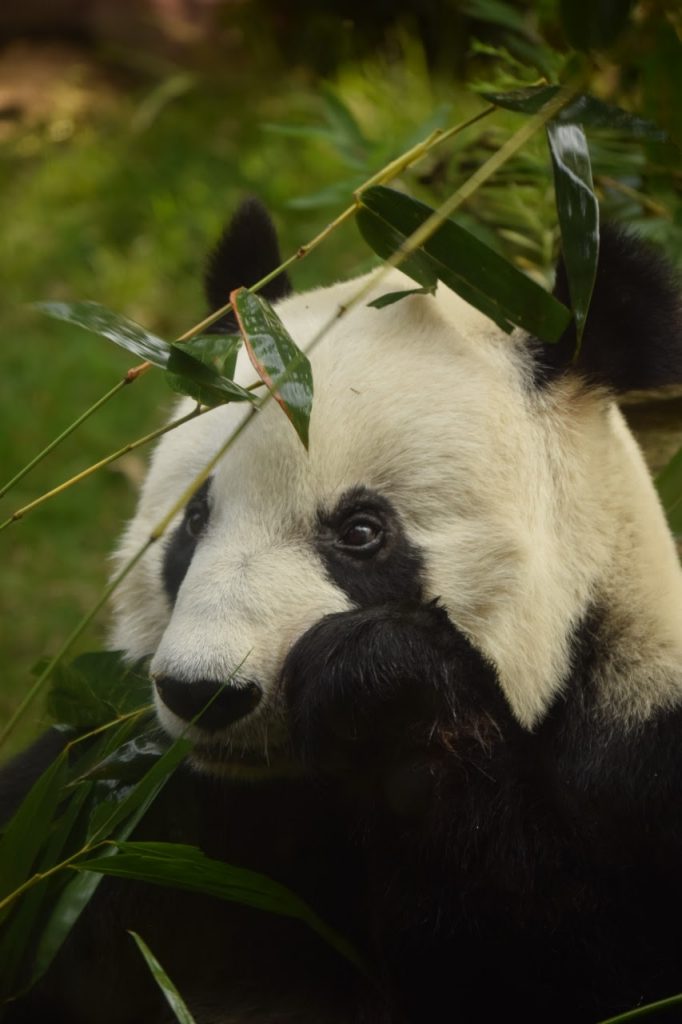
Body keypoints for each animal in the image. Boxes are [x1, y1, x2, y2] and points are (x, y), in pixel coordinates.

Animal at [3, 198, 682, 1024]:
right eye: (195, 519)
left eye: (361, 532)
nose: (205, 693)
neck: (295, 792)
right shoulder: (124, 810)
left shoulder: (638, 758)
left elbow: (571, 961)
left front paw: (381, 686)